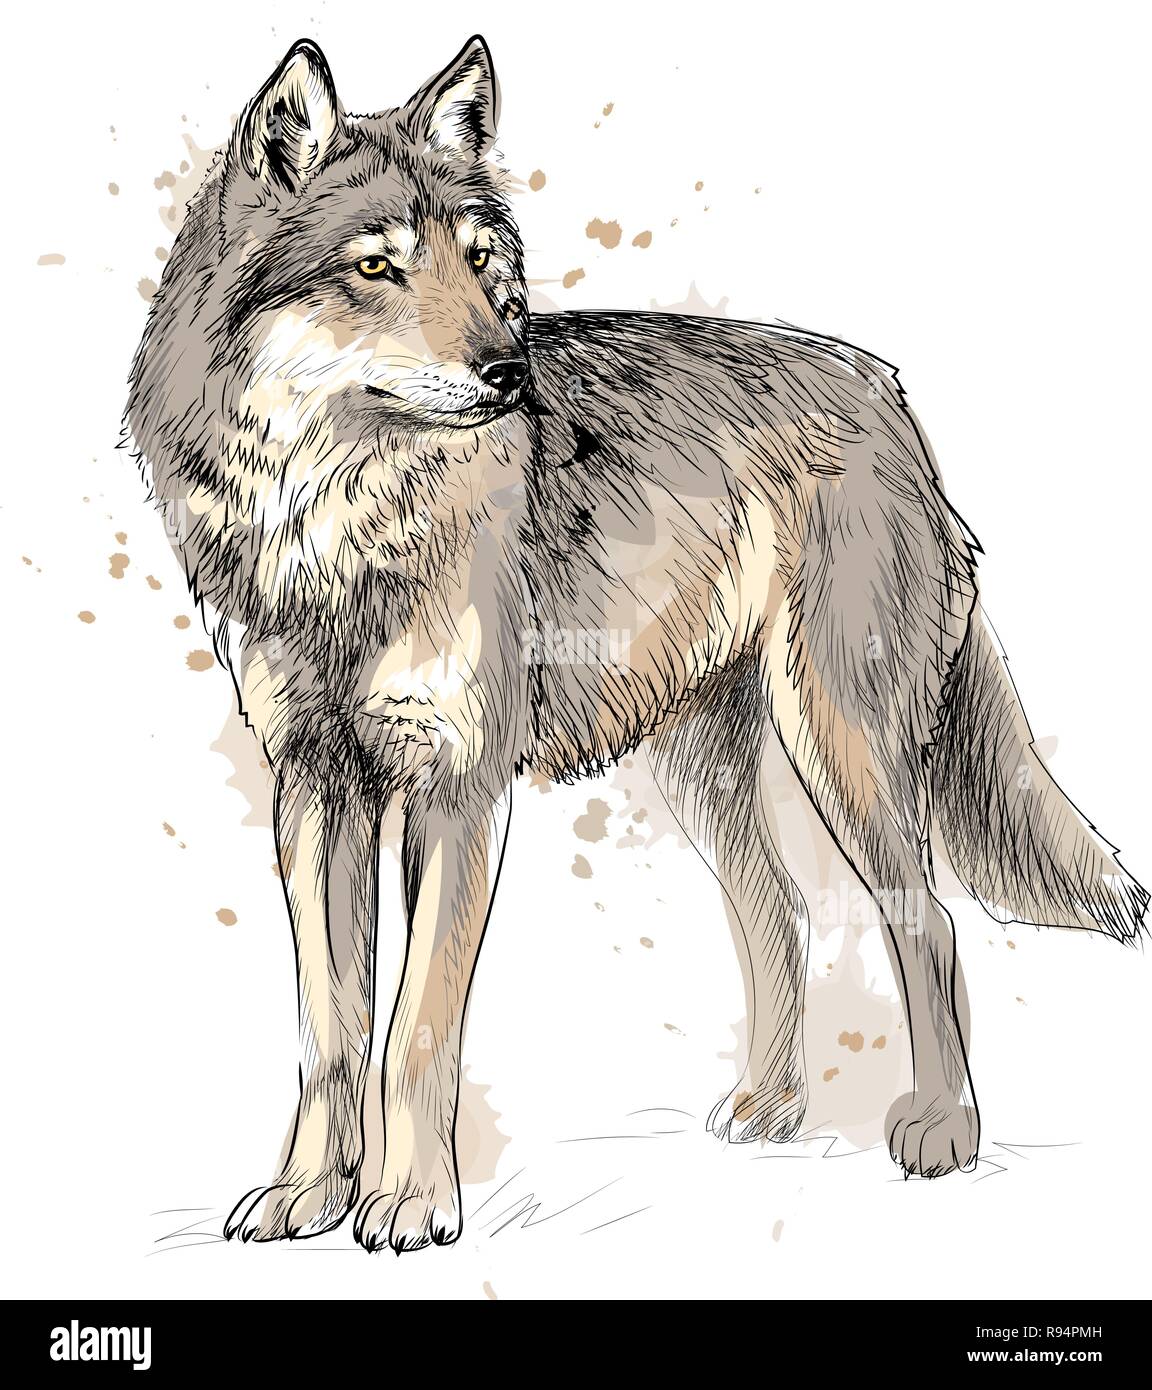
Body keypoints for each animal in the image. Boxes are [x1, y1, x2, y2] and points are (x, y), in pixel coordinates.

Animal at [126, 36, 1147, 1253]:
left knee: (928, 920)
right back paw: (767, 1109)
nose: (509, 371)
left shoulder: (457, 789)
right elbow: (331, 1029)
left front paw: (409, 1205)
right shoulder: (316, 791)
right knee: (781, 912)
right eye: (378, 267)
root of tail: (892, 398)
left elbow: (415, 1029)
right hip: (707, 768)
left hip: (838, 744)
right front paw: (307, 1197)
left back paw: (942, 1129)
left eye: (479, 263)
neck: (342, 524)